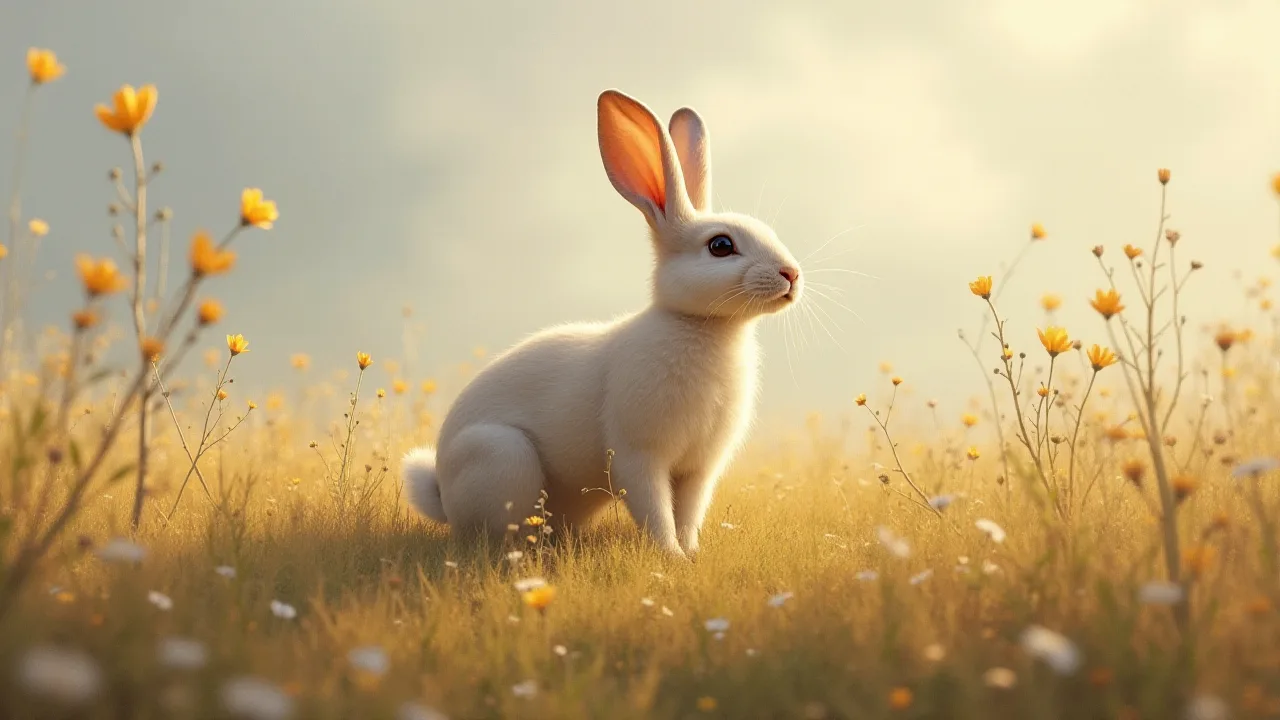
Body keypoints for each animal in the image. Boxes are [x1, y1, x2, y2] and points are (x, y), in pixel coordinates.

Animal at [401, 89, 802, 559]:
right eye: (720, 246)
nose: (791, 275)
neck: (705, 326)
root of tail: (442, 495)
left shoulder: (698, 469)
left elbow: (688, 514)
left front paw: (691, 555)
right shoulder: (639, 456)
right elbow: (656, 512)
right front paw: (672, 557)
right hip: (502, 457)